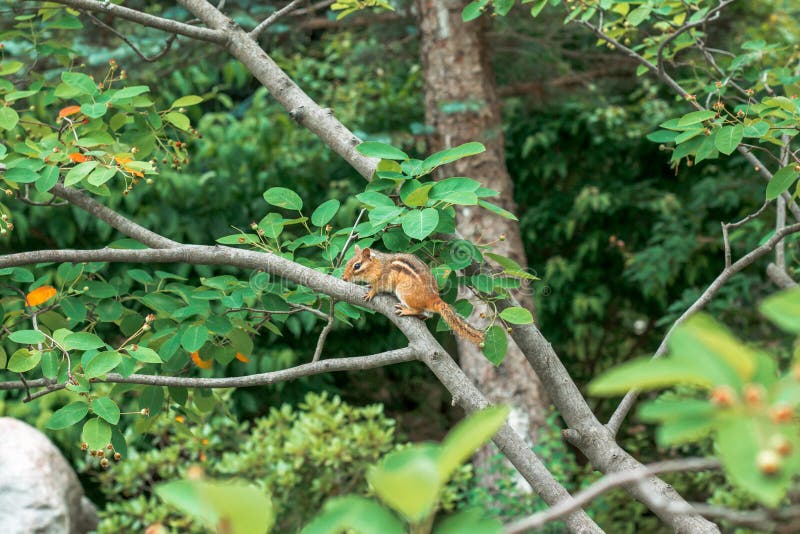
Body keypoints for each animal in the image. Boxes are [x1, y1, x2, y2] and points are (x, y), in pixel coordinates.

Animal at [342, 245, 485, 345]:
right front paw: (369, 285)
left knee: (419, 310)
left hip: (403, 291)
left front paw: (372, 291)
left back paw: (406, 310)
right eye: (348, 262)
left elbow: (380, 287)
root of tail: (434, 299)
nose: (343, 278)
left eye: (357, 266)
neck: (379, 264)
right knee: (428, 314)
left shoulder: (385, 277)